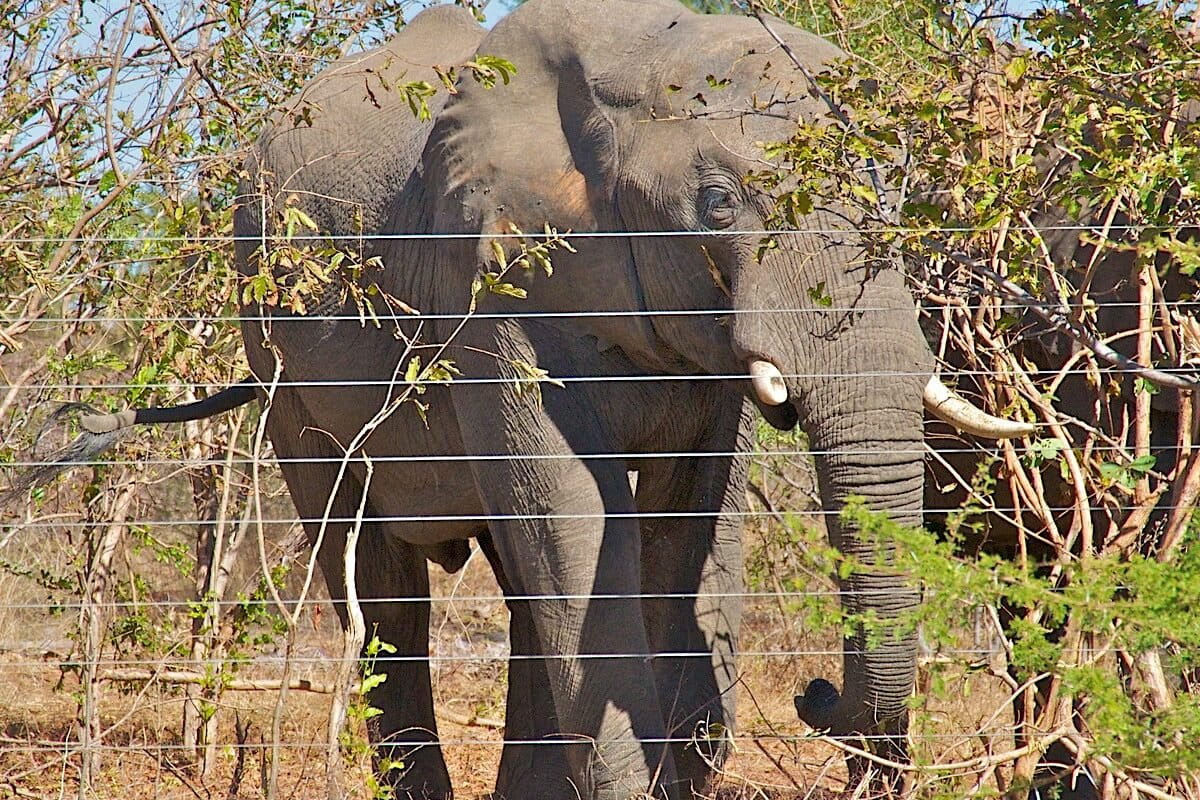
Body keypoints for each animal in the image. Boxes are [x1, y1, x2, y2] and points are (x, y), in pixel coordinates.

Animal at [7, 1, 1031, 798]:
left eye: (893, 194)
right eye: (718, 202)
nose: (813, 693)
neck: (638, 54)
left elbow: (672, 523)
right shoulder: (492, 276)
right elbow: (574, 518)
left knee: (518, 586)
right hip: (273, 337)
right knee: (385, 591)